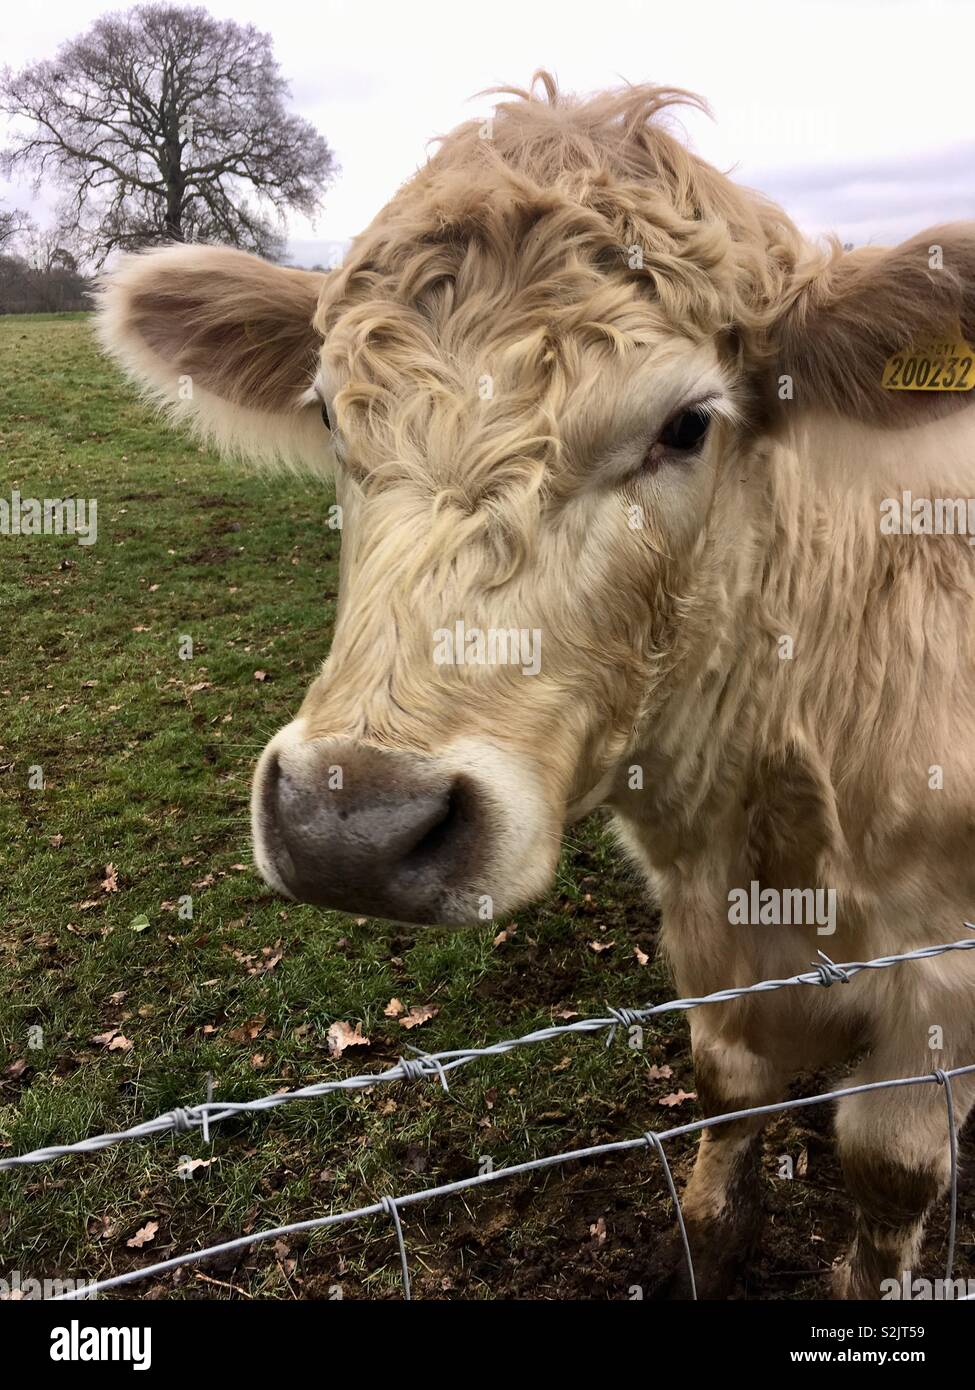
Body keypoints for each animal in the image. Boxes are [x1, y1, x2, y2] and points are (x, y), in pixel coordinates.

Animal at [97, 73, 975, 1299]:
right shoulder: (702, 934)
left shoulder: (940, 985)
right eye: (326, 411)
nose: (348, 824)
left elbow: (891, 1181)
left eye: (686, 424)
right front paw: (709, 1237)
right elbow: (724, 1102)